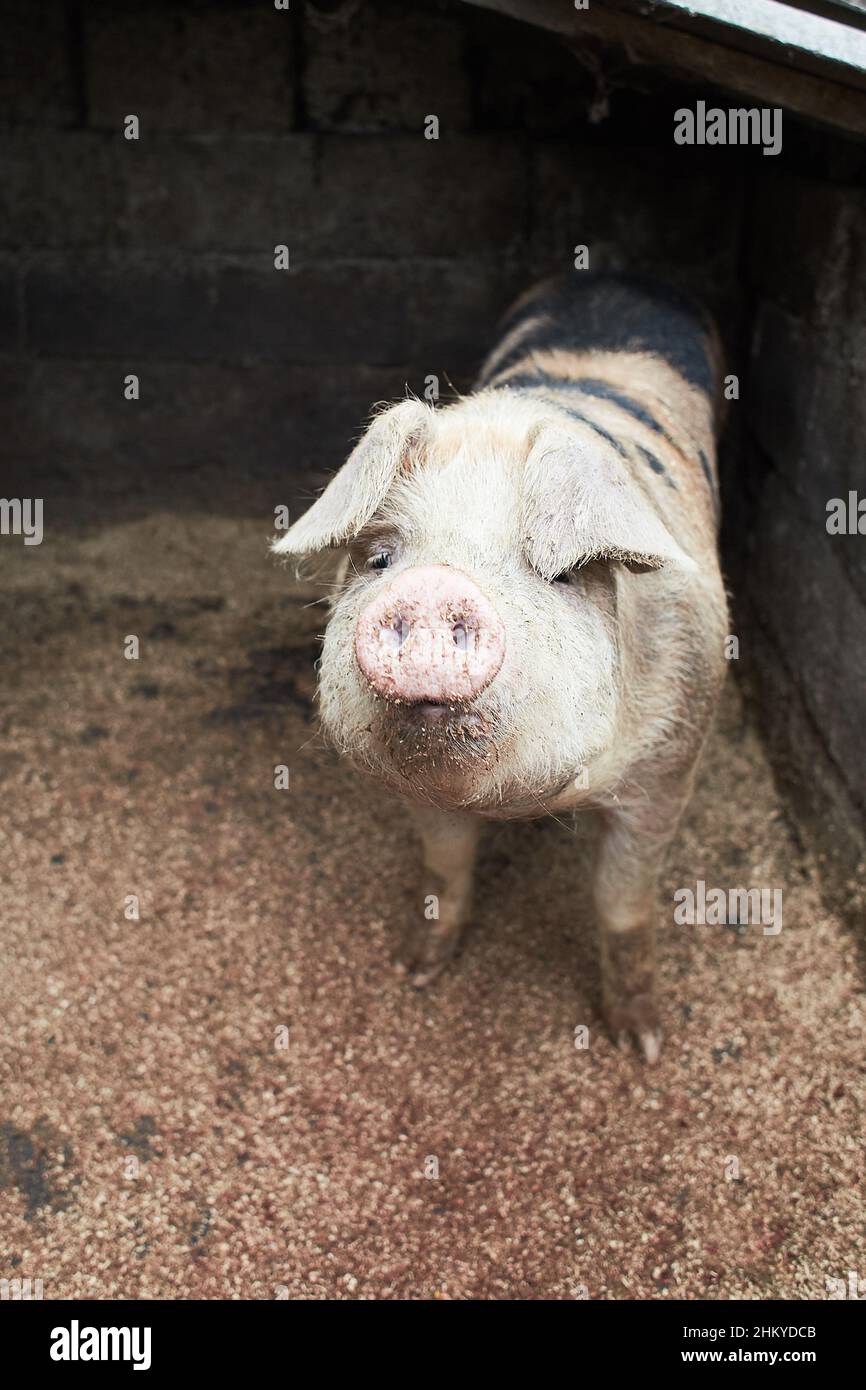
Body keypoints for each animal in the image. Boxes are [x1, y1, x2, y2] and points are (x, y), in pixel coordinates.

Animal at [273, 273, 727, 1063]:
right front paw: (416, 971)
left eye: (564, 573)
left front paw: (643, 1045)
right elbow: (444, 866)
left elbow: (623, 904)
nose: (431, 588)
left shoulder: (671, 765)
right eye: (381, 558)